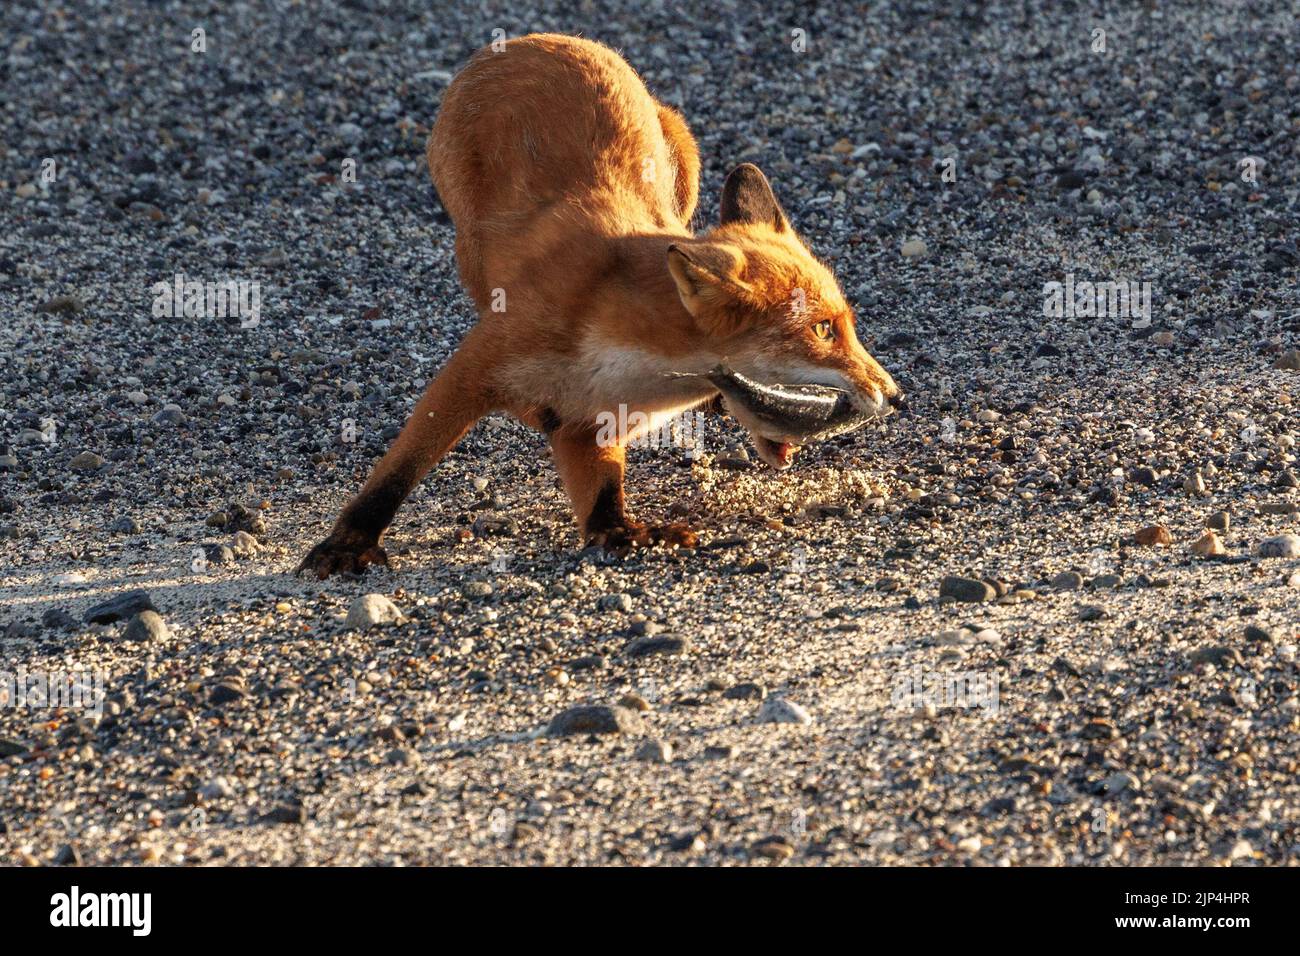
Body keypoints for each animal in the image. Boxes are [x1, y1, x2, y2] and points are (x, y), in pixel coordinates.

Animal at [298, 33, 902, 578]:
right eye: (823, 329)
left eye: (848, 325)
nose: (894, 394)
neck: (622, 350)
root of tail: (534, 40)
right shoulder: (476, 371)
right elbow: (399, 468)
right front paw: (348, 542)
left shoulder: (588, 419)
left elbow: (602, 493)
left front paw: (619, 531)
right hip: (468, 249)